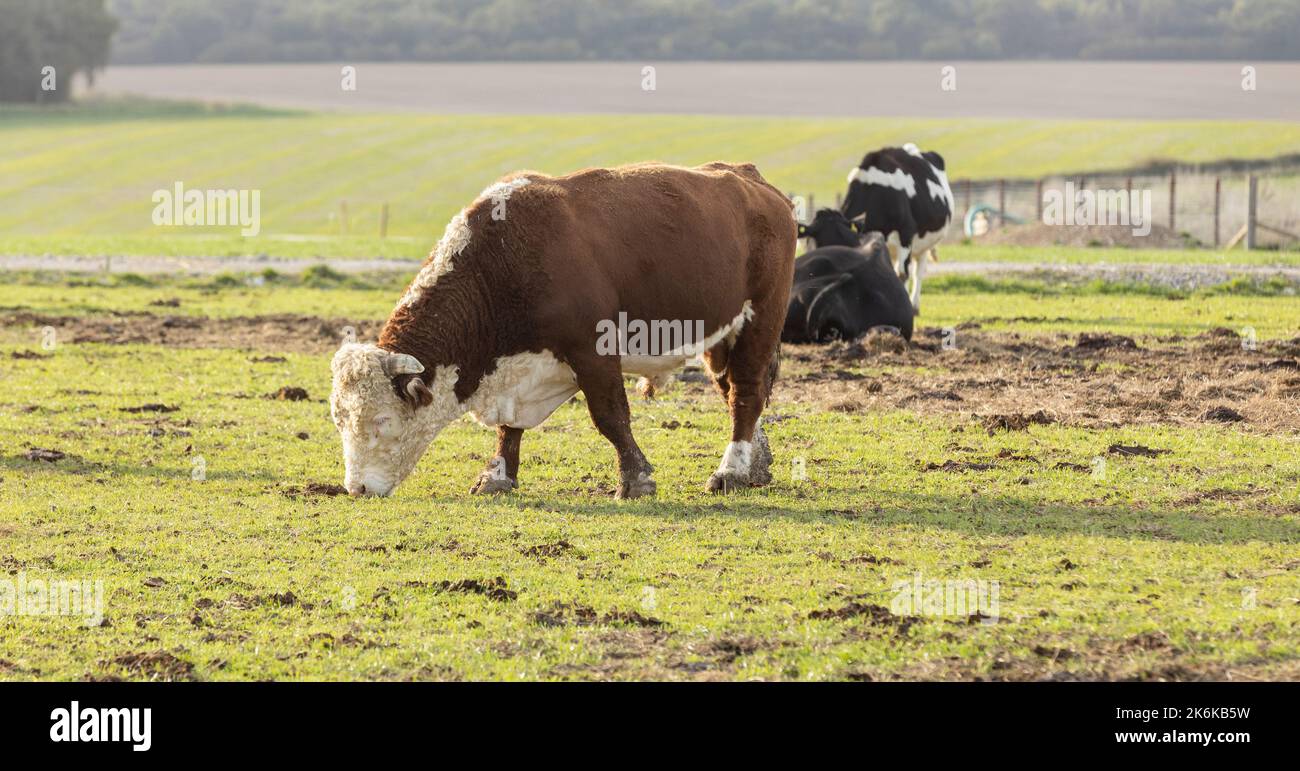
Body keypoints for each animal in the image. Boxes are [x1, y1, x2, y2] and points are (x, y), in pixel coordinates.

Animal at [329, 162, 795, 500]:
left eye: (382, 420)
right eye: (339, 420)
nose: (357, 489)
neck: (502, 262)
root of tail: (749, 177)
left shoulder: (593, 349)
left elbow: (611, 416)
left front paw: (635, 479)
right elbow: (509, 427)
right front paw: (498, 475)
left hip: (759, 322)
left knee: (746, 395)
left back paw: (731, 470)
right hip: (721, 336)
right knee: (734, 392)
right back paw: (756, 464)